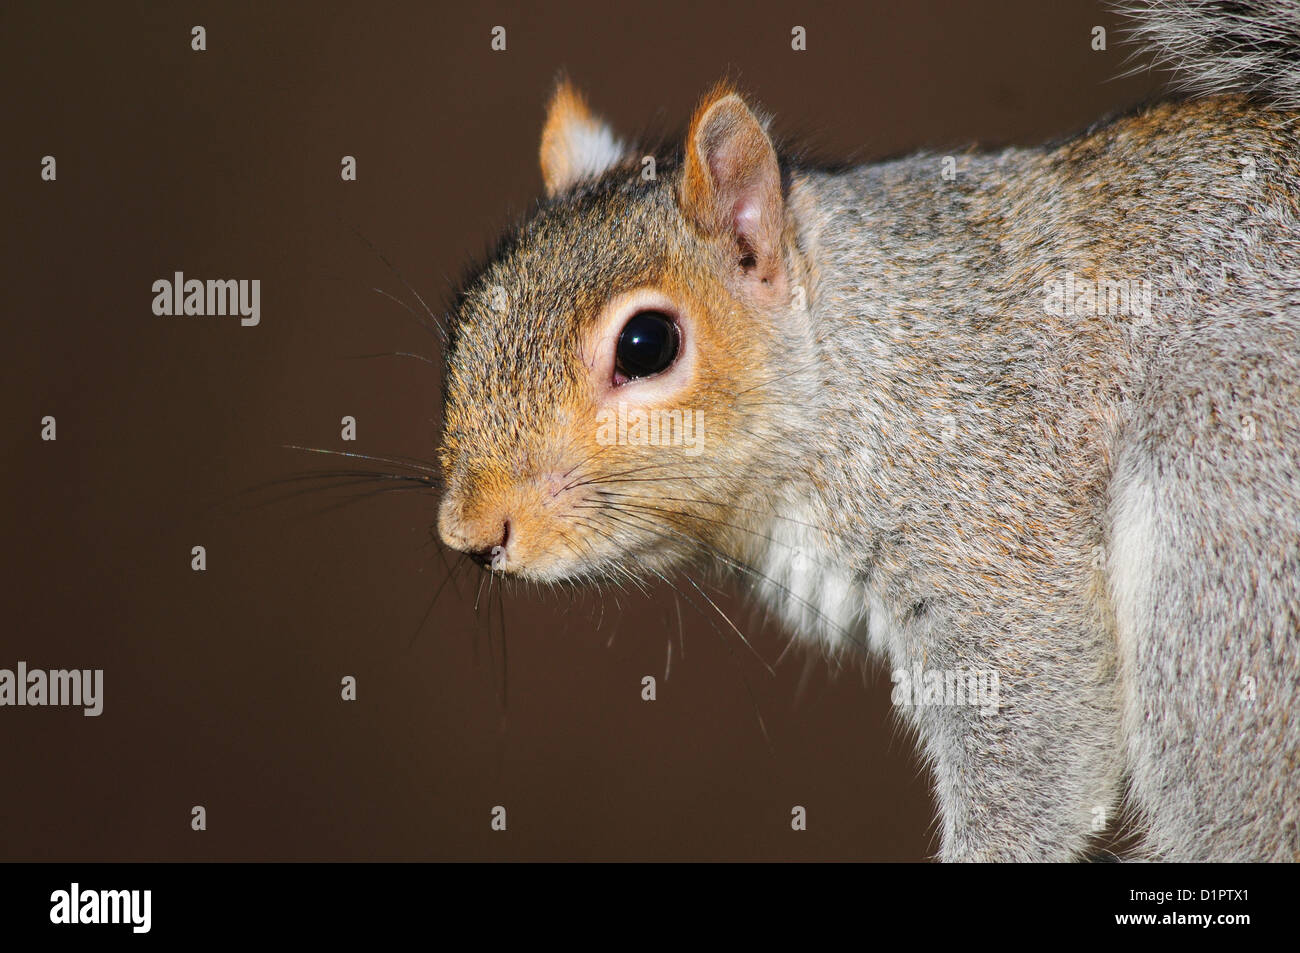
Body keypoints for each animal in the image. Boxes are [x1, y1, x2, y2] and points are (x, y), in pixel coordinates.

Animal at [434, 0, 1300, 860]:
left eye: (647, 345)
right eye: (468, 314)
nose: (470, 532)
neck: (860, 350)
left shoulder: (990, 522)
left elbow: (1040, 729)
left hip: (1225, 538)